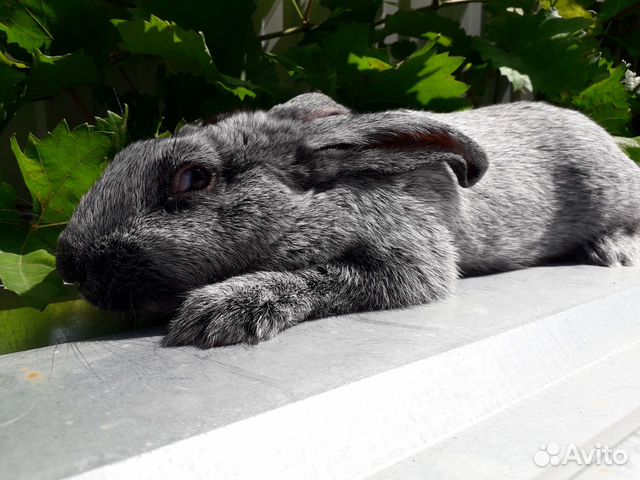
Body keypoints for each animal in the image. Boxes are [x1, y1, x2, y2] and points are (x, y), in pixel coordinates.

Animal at [56, 93, 640, 347]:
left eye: (192, 178)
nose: (66, 263)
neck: (308, 204)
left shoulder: (407, 260)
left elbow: (319, 279)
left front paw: (215, 315)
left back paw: (612, 249)